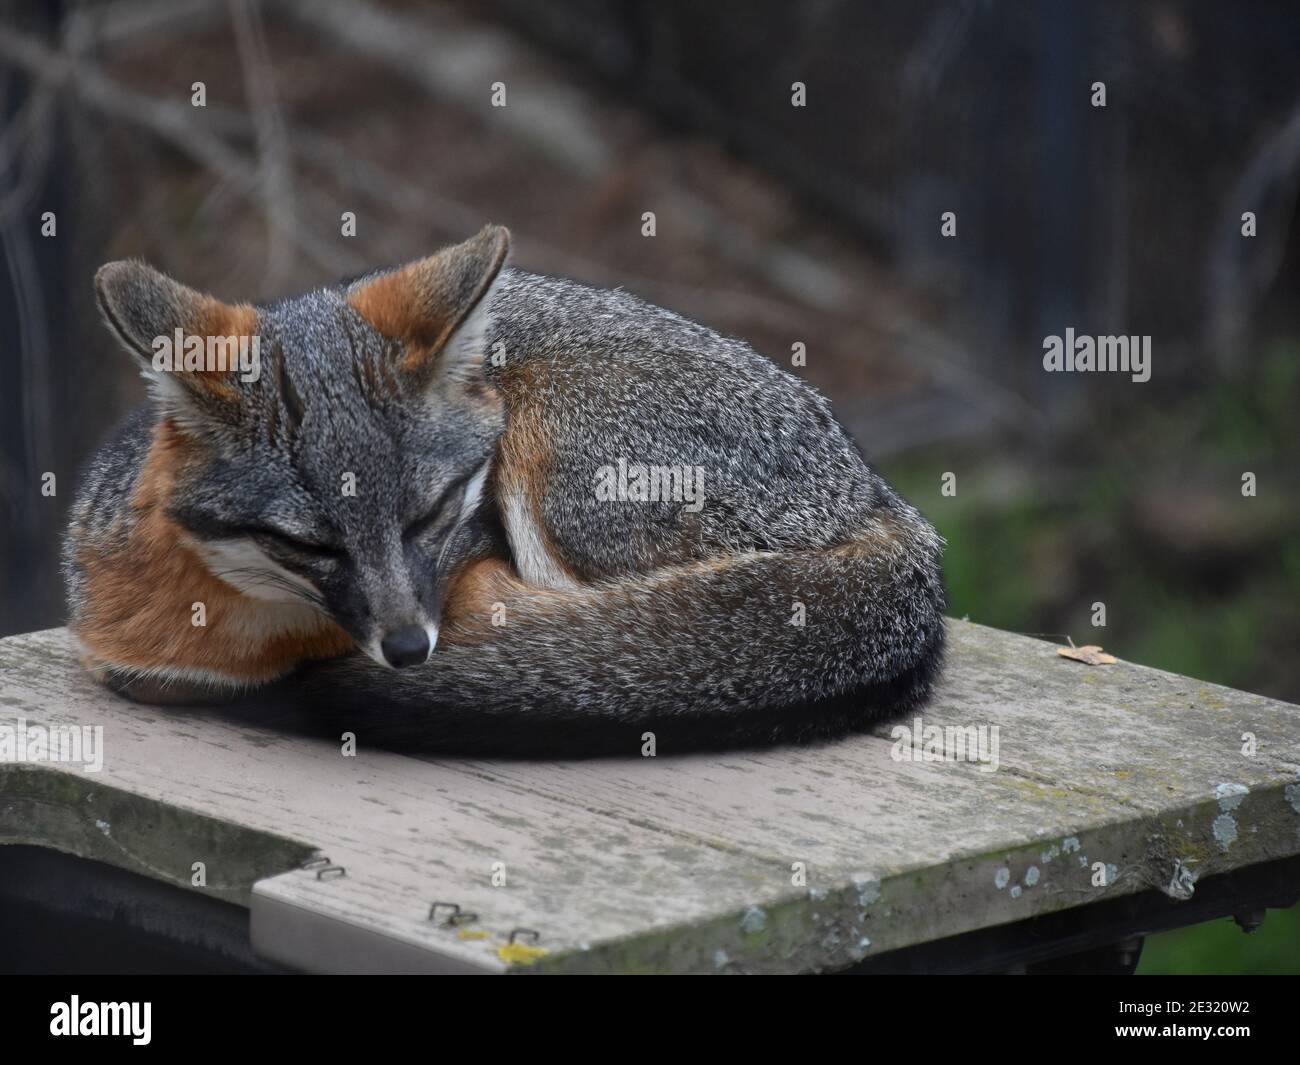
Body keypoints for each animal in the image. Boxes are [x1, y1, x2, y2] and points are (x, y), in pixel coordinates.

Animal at [63, 225, 946, 755]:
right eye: (308, 542)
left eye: (429, 514)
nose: (409, 649)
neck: (259, 634)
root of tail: (884, 500)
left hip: (552, 452)